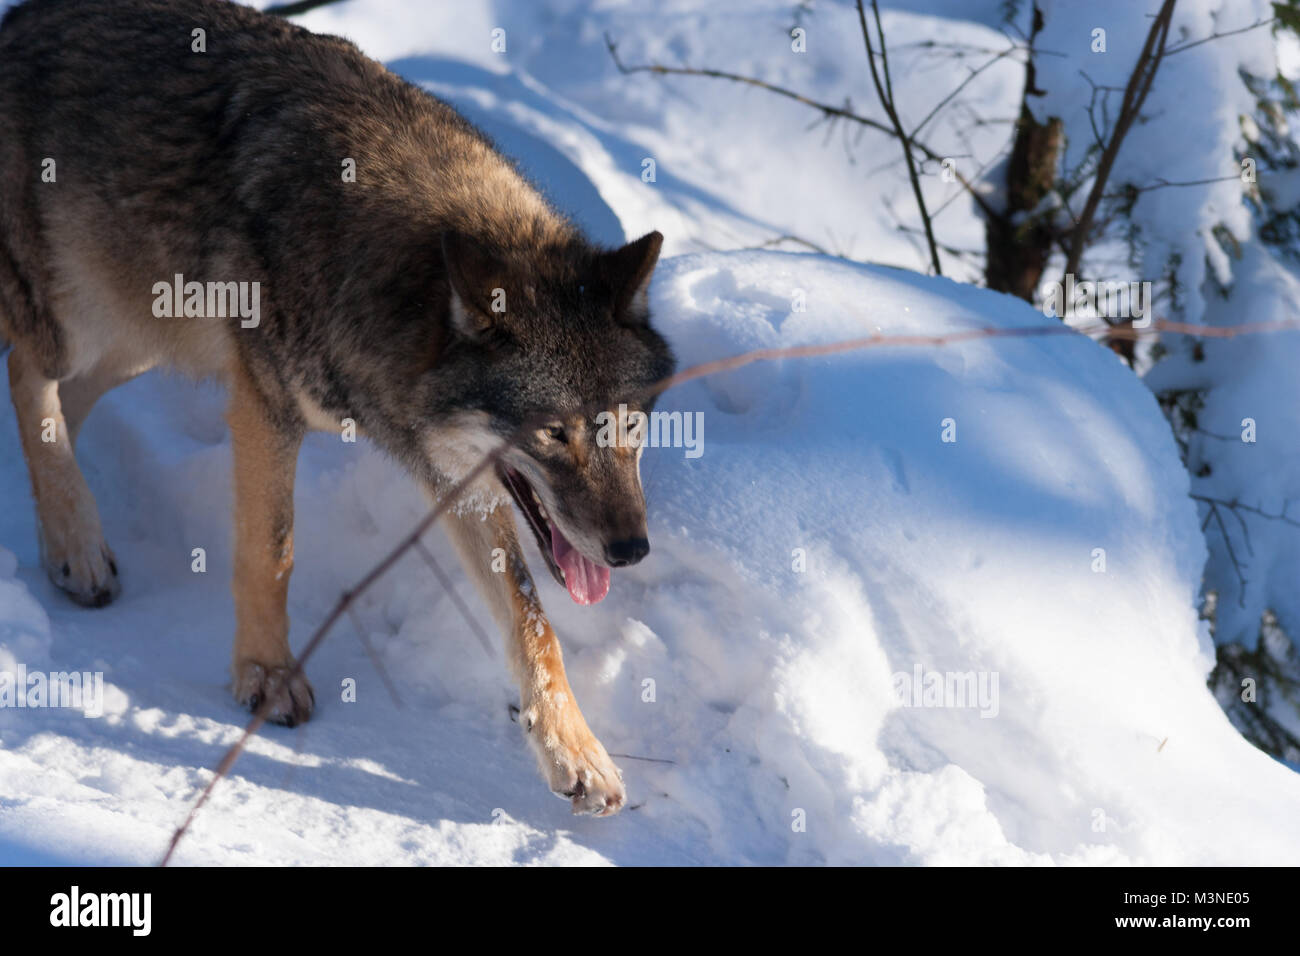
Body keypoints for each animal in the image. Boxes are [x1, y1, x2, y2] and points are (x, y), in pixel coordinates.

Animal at [0, 0, 675, 816]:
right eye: (553, 432)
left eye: (629, 422)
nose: (631, 550)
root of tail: (18, 20)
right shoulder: (265, 407)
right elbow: (273, 554)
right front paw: (265, 676)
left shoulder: (453, 477)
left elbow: (531, 622)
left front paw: (578, 755)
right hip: (86, 316)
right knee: (28, 372)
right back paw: (76, 543)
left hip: (145, 332)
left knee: (59, 395)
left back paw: (65, 546)